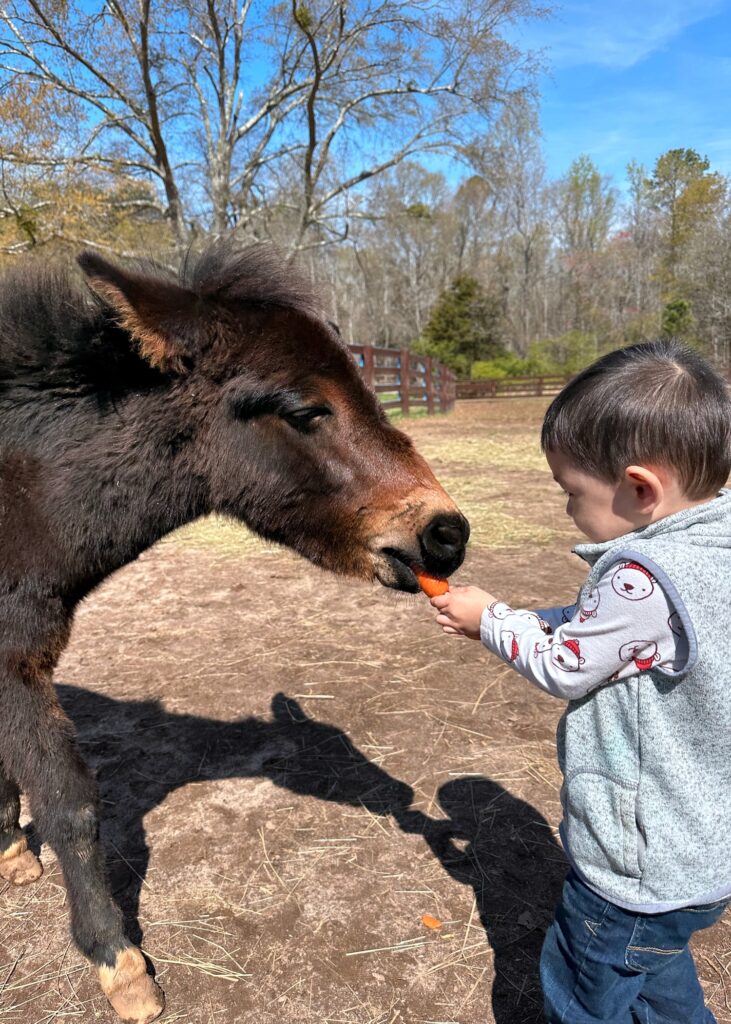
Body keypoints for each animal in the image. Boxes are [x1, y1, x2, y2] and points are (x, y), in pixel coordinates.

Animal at [0, 243, 468, 1024]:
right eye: (306, 409)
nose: (448, 534)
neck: (18, 501)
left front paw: (10, 852)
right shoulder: (12, 664)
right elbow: (68, 802)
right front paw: (117, 962)